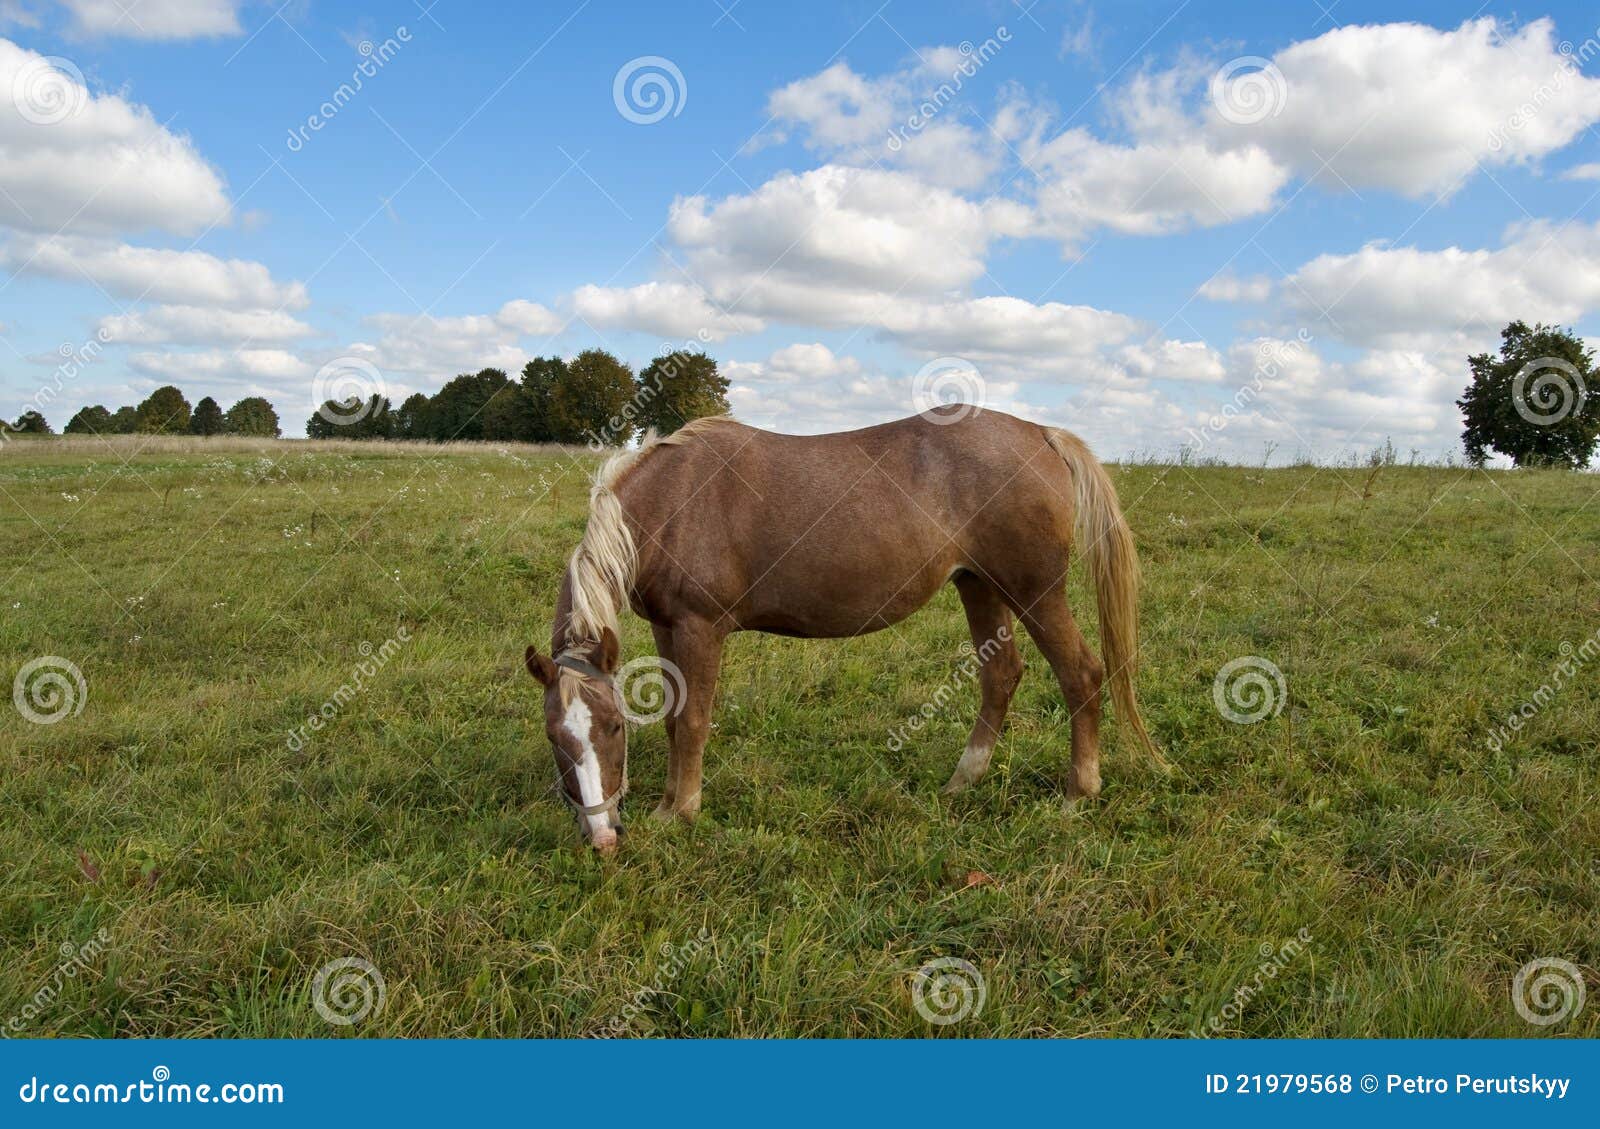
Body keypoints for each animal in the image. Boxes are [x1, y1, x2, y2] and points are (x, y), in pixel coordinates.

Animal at [525, 407, 1158, 851]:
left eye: (611, 728)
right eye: (557, 738)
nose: (603, 837)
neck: (672, 499)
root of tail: (1042, 434)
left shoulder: (700, 627)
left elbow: (695, 721)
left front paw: (683, 810)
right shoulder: (666, 626)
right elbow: (674, 720)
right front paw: (665, 807)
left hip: (1034, 592)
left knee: (1081, 673)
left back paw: (1078, 794)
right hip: (978, 586)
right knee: (1001, 675)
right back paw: (963, 781)